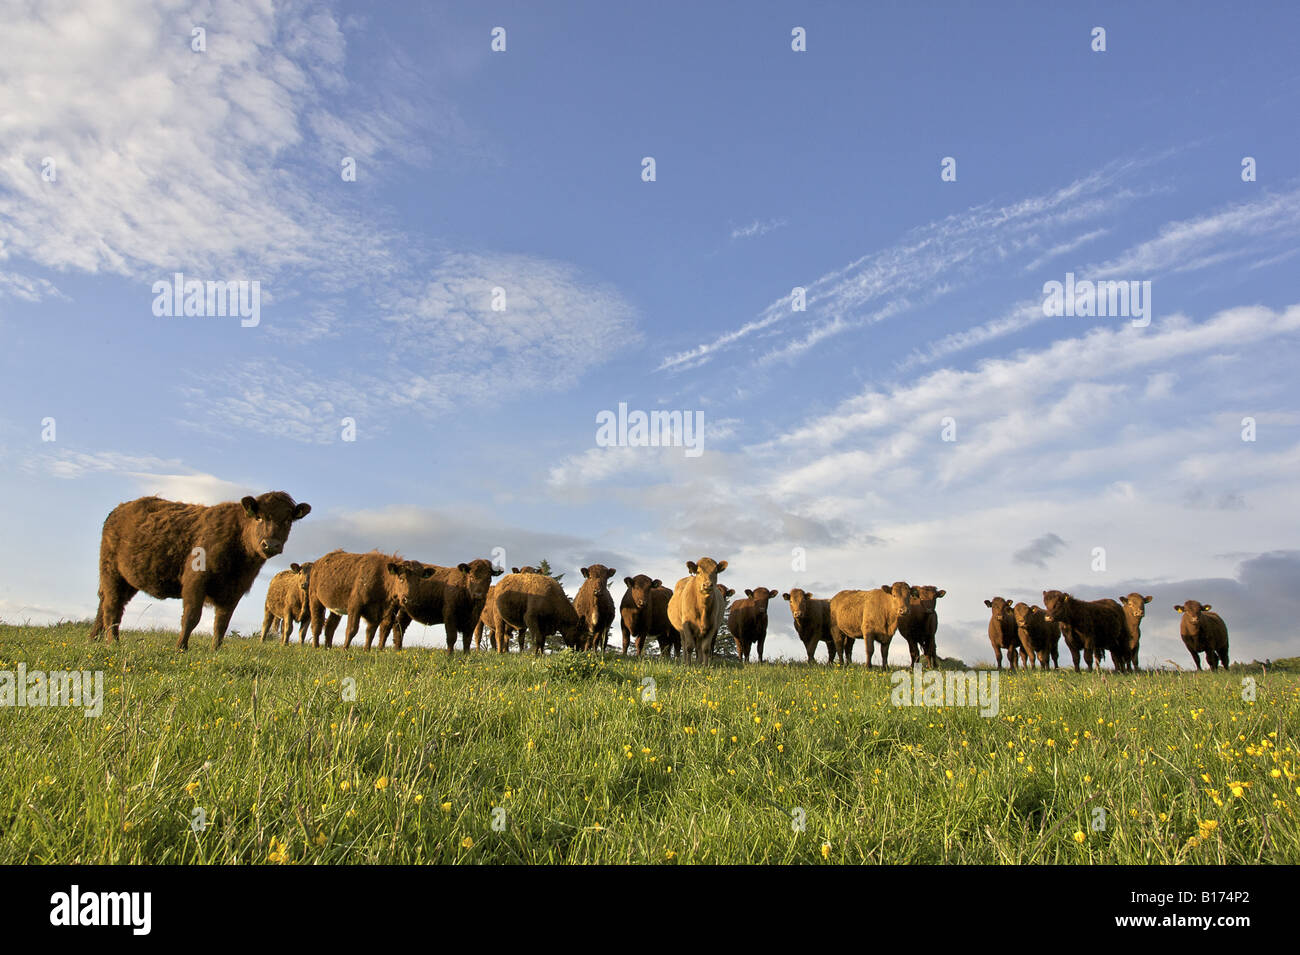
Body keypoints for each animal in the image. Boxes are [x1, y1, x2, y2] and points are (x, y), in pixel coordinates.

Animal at [89, 491, 311, 651]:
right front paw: (181, 647)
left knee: (106, 603)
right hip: (111, 572)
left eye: (287, 521)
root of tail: (120, 509)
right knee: (112, 606)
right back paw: (113, 642)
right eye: (259, 517)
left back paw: (94, 638)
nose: (270, 544)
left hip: (128, 579)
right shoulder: (195, 581)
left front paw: (215, 650)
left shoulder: (235, 590)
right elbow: (191, 617)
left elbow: (222, 623)